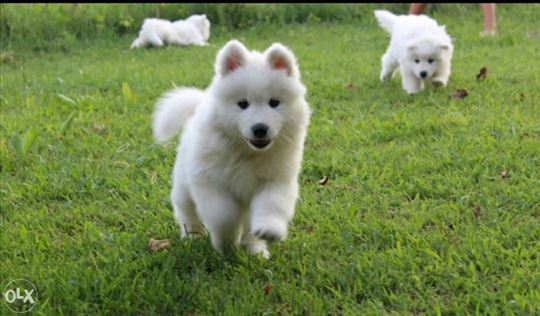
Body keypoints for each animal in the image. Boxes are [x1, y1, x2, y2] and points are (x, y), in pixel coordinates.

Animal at [152, 39, 312, 258]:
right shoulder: (210, 182)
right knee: (187, 213)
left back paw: (255, 249)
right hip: (183, 188)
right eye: (242, 104)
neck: (247, 153)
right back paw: (193, 237)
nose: (260, 129)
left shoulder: (275, 180)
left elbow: (272, 205)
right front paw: (226, 243)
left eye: (274, 103)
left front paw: (269, 230)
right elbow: (224, 216)